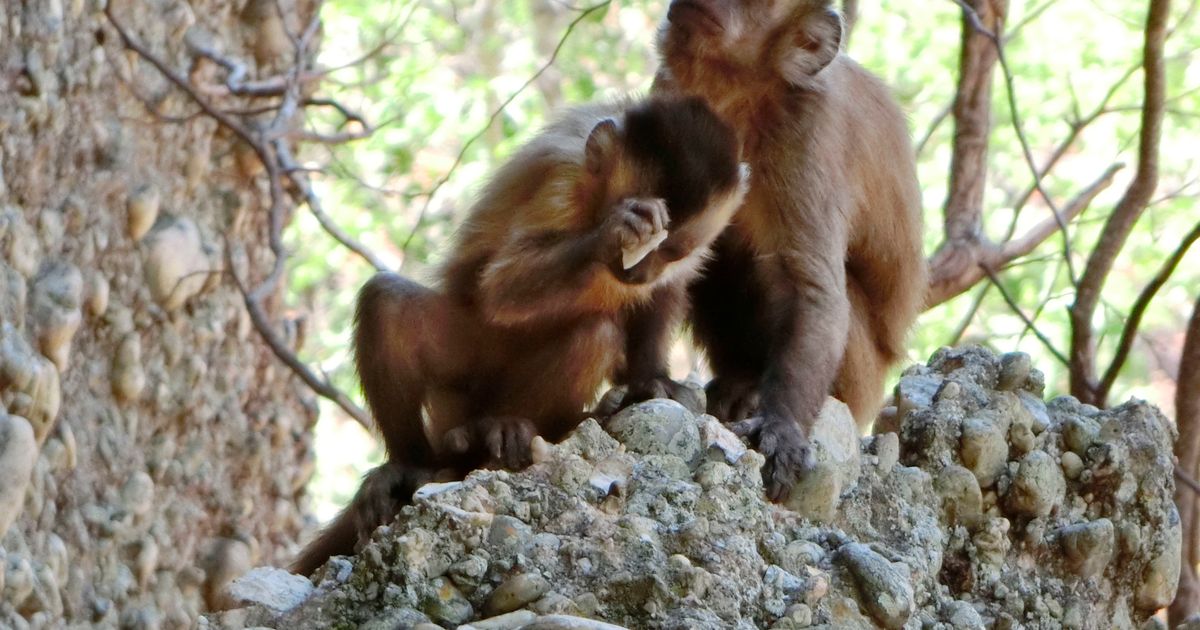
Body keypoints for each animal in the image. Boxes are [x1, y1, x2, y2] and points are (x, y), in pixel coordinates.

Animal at [290, 96, 750, 575]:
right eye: (642, 241)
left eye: (672, 250)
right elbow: (501, 286)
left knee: (593, 335)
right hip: (462, 375)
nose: (637, 271)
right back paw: (415, 464)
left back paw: (520, 426)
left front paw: (651, 380)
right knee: (388, 302)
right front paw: (612, 232)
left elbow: (663, 294)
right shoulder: (562, 176)